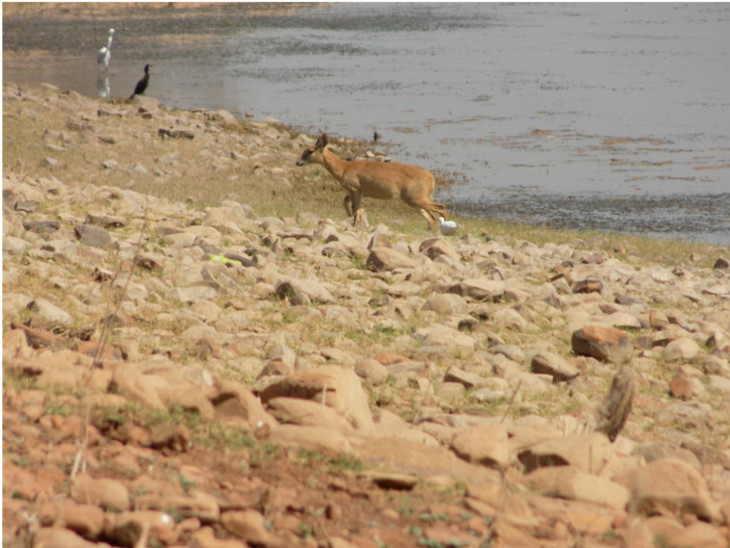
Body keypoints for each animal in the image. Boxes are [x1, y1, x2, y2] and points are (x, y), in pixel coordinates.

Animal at [296, 134, 448, 231]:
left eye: (310, 151)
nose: (297, 162)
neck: (344, 168)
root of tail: (431, 178)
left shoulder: (356, 189)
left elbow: (356, 208)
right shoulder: (356, 191)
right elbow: (346, 203)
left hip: (414, 197)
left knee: (441, 208)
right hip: (415, 200)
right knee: (432, 217)